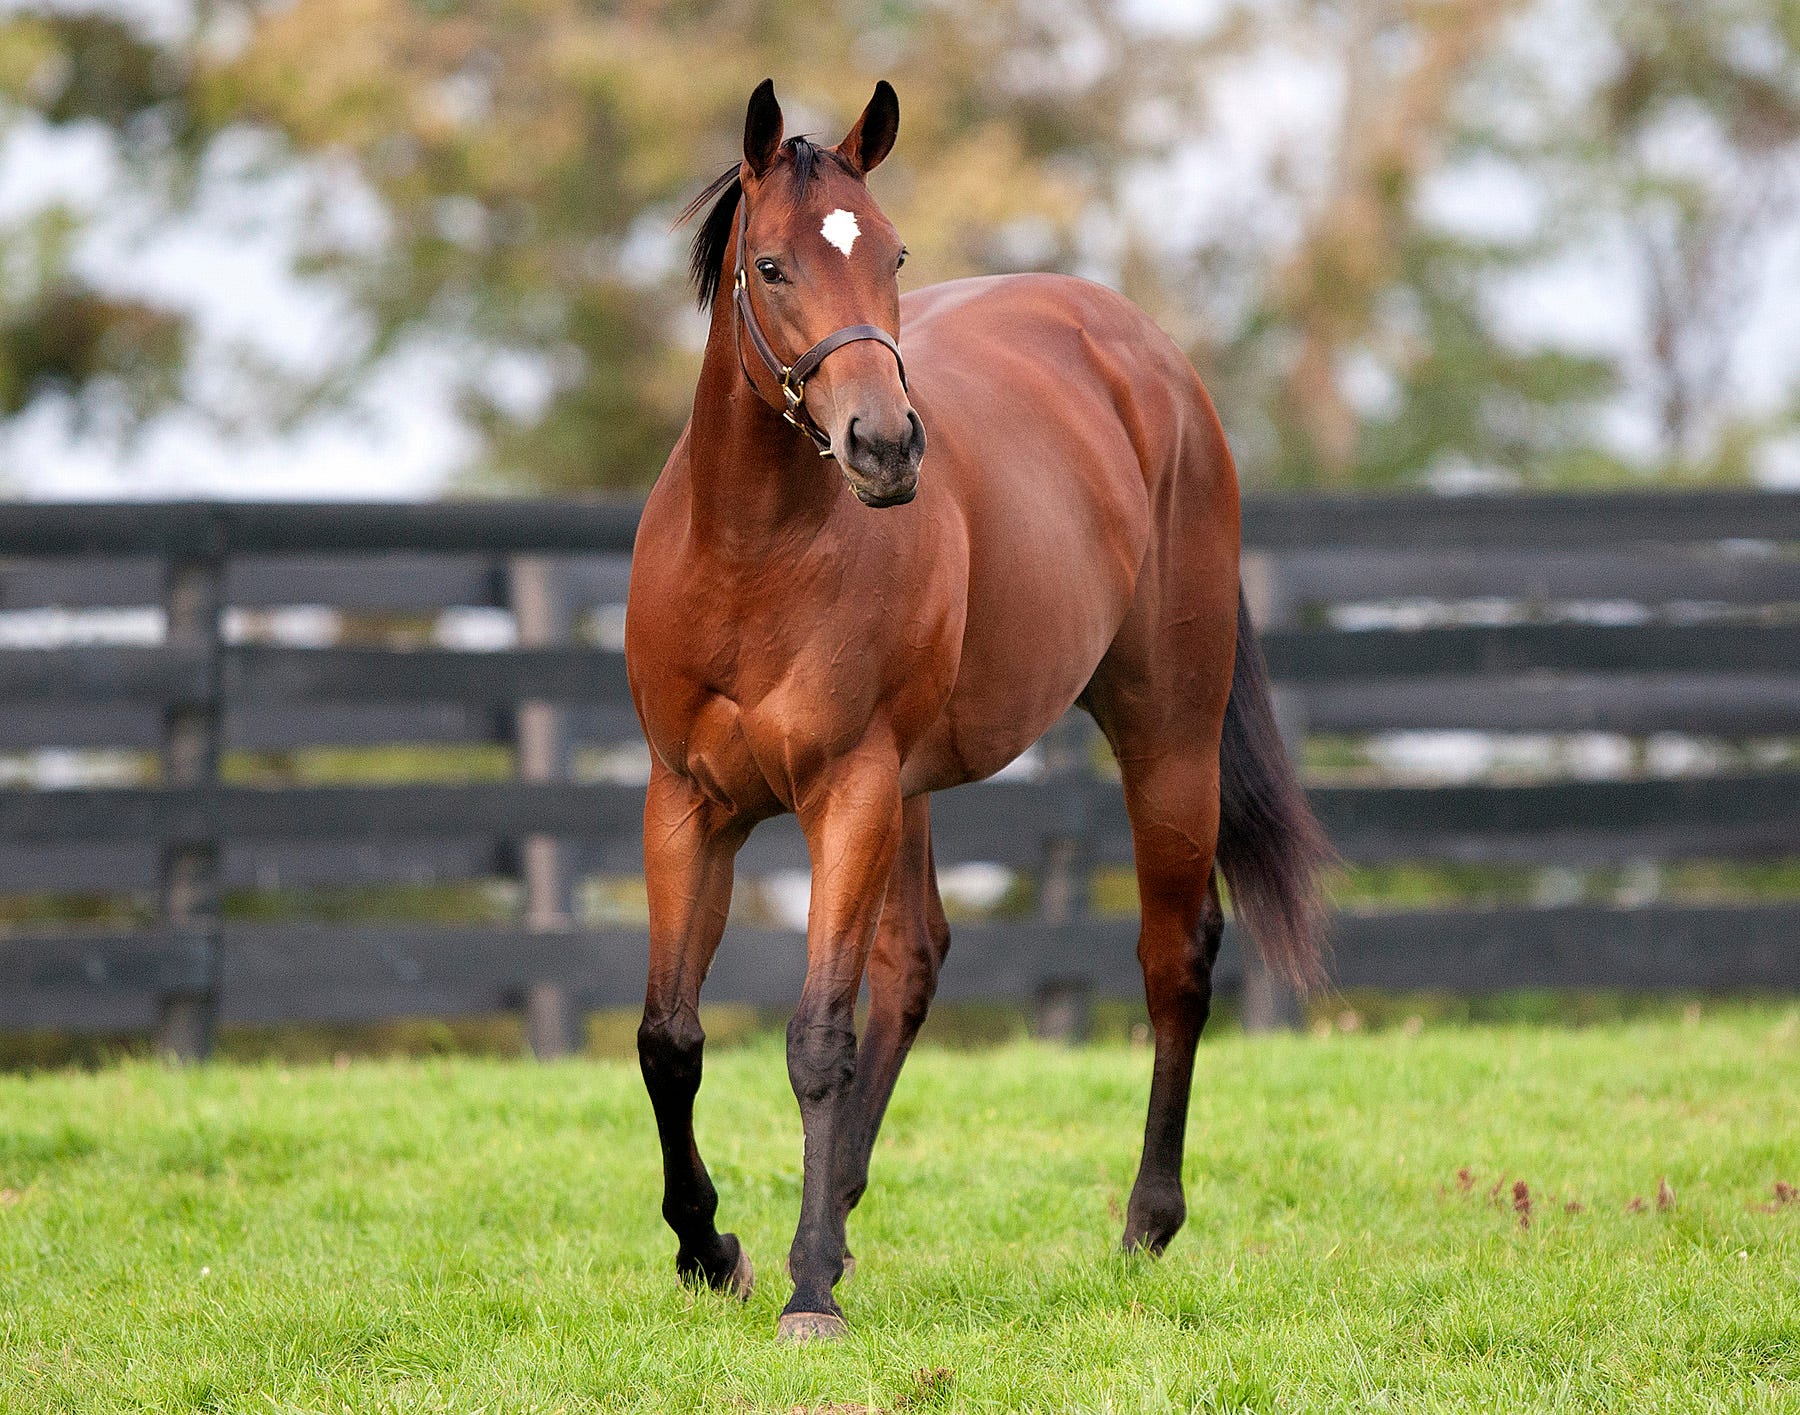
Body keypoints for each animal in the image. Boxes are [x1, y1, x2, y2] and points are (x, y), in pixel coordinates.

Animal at [624, 78, 1332, 1342]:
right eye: (771, 266)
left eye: (892, 252)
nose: (885, 445)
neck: (750, 559)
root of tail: (1144, 355)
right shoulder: (690, 803)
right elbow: (672, 1038)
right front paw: (715, 1249)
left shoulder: (847, 790)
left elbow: (818, 1035)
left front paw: (805, 1290)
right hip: (910, 790)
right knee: (915, 960)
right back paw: (841, 1217)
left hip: (1164, 734)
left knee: (1175, 954)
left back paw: (1145, 1222)